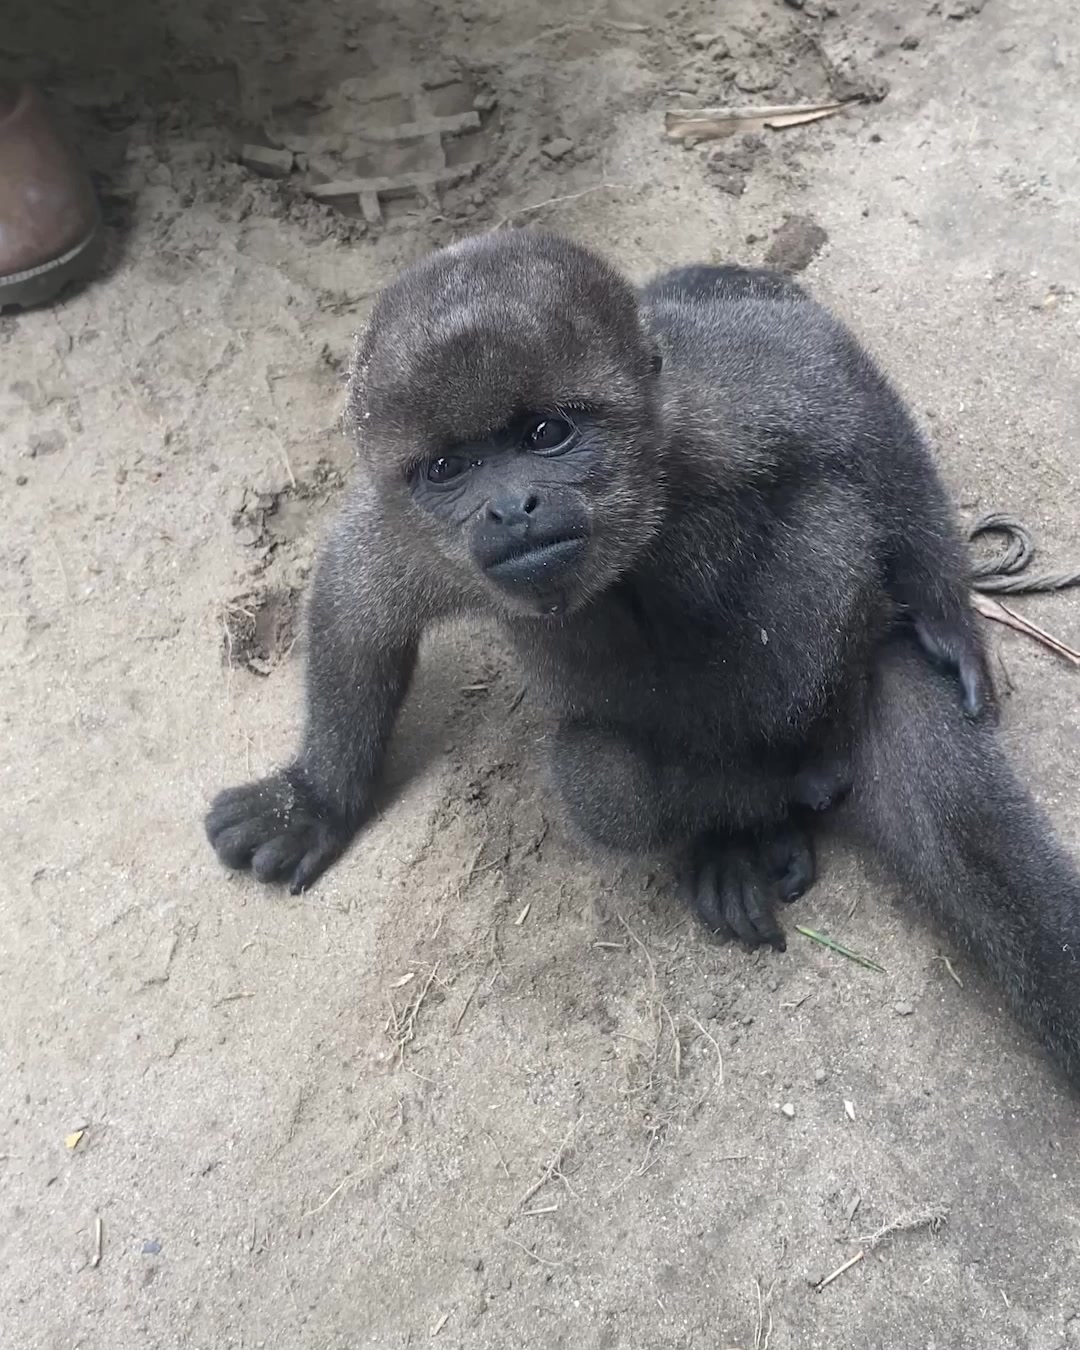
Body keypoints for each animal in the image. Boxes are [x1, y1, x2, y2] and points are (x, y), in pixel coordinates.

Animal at [205, 230, 1080, 1082]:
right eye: (448, 467)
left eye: (546, 433)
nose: (510, 507)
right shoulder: (418, 533)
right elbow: (356, 604)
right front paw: (312, 799)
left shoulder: (710, 414)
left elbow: (842, 393)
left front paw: (946, 610)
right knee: (606, 783)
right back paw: (749, 822)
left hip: (848, 652)